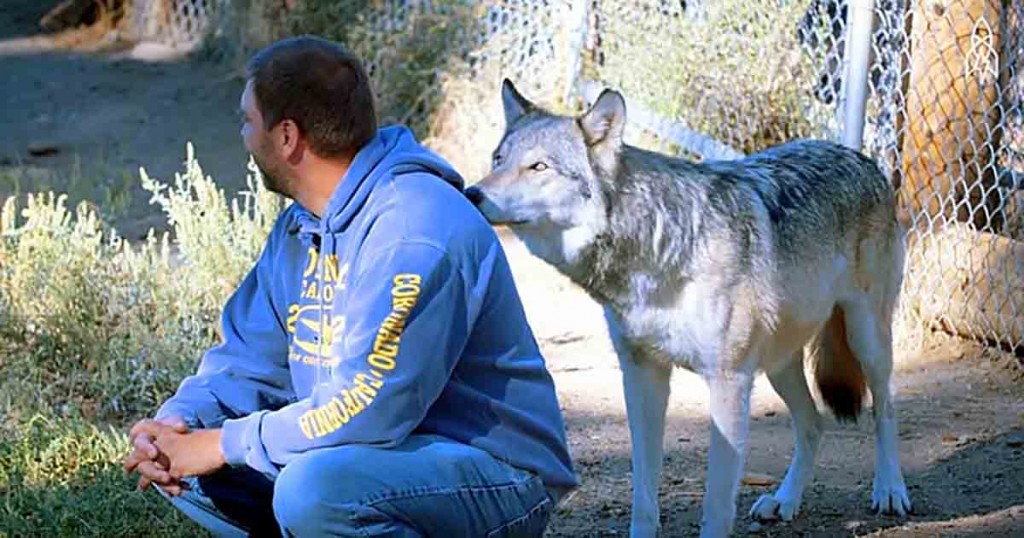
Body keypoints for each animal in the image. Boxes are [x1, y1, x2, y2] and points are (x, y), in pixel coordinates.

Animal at [465, 80, 912, 537]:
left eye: (538, 167)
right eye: (499, 159)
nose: (472, 193)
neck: (656, 248)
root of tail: (859, 157)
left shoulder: (728, 381)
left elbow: (715, 502)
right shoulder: (641, 376)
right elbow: (644, 496)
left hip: (865, 339)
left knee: (886, 408)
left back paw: (890, 490)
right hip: (777, 364)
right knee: (813, 423)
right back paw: (784, 500)